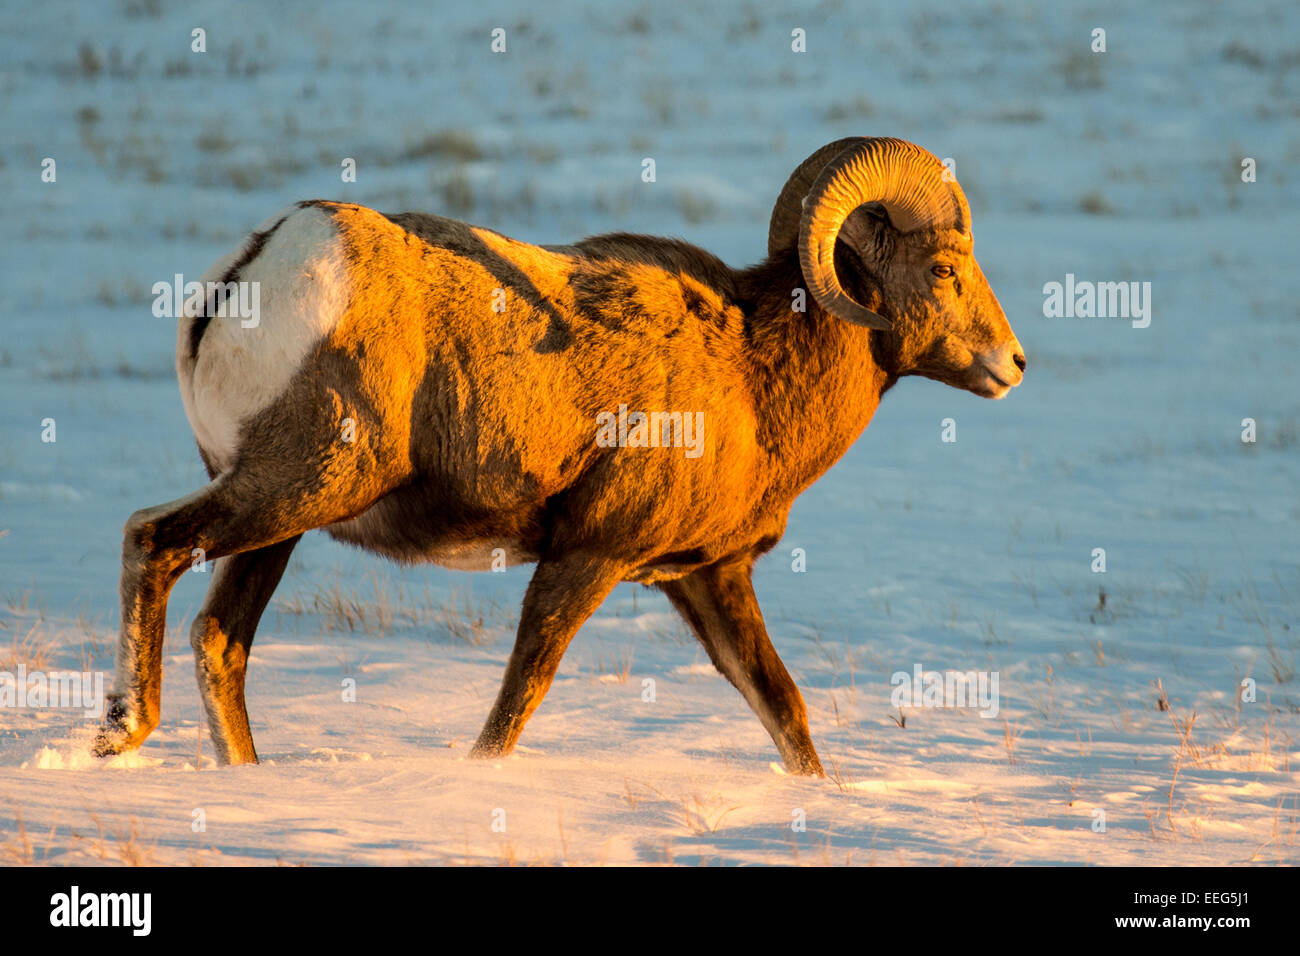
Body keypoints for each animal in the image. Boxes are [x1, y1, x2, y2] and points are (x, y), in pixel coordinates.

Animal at [94, 136, 1025, 776]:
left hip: (281, 520)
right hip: (296, 486)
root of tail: (256, 268)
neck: (755, 379)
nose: (1012, 364)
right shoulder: (589, 557)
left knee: (221, 641)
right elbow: (517, 702)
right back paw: (121, 732)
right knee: (152, 539)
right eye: (944, 269)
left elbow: (783, 709)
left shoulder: (706, 577)